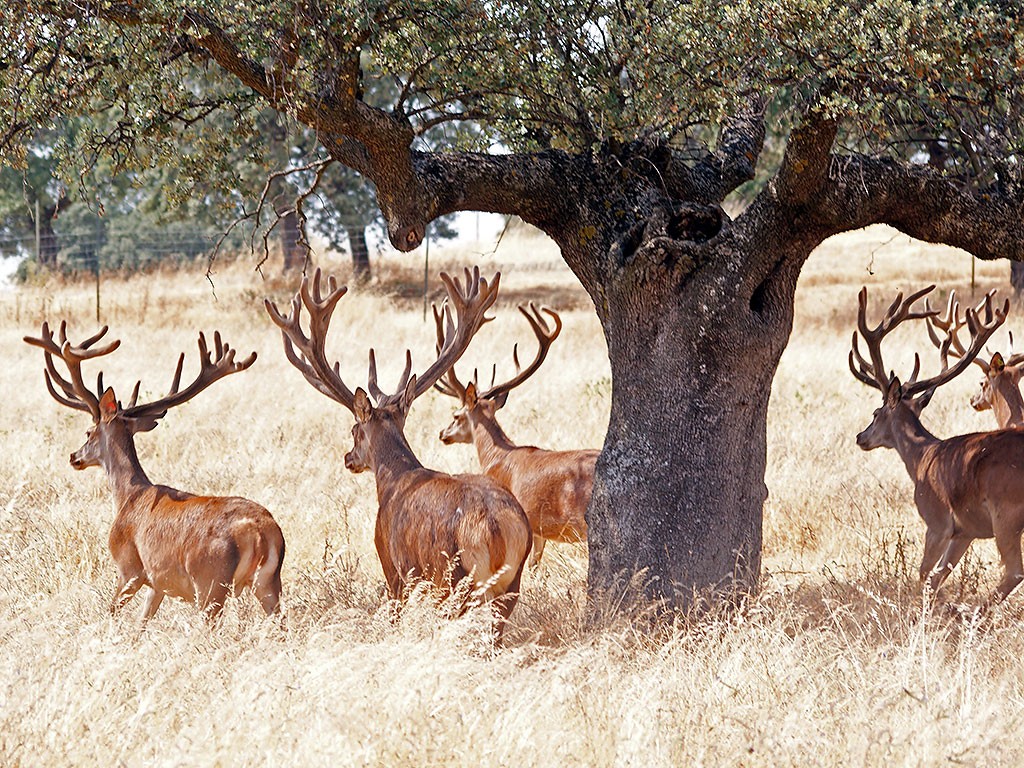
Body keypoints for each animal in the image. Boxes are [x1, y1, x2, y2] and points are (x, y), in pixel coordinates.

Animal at [24, 323, 285, 626]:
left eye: (88, 432)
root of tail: (259, 529)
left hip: (210, 580)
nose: (74, 457)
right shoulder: (159, 582)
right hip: (268, 583)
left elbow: (111, 610)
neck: (128, 496)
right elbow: (142, 621)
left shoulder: (130, 567)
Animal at [264, 267, 532, 638]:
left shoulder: (390, 564)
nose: (348, 458)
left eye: (354, 430)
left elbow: (393, 611)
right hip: (512, 583)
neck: (393, 482)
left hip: (452, 577)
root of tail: (497, 527)